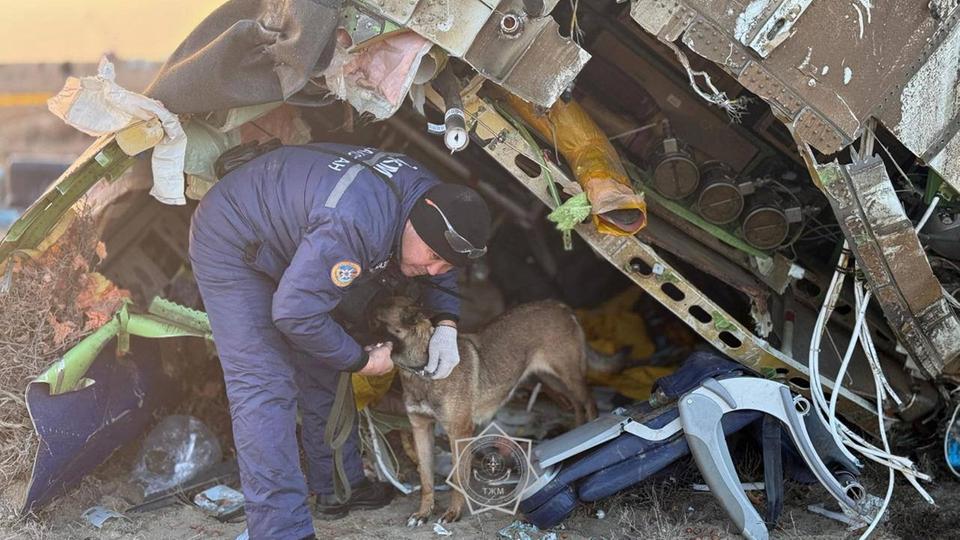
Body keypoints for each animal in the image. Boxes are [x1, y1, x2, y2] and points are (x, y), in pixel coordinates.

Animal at [374, 298, 592, 524]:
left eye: (376, 323)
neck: (422, 370)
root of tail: (559, 305)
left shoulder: (459, 432)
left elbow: (458, 477)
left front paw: (454, 512)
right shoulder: (420, 428)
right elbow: (426, 478)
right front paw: (423, 513)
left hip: (568, 377)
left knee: (588, 401)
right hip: (551, 380)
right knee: (576, 404)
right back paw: (578, 429)